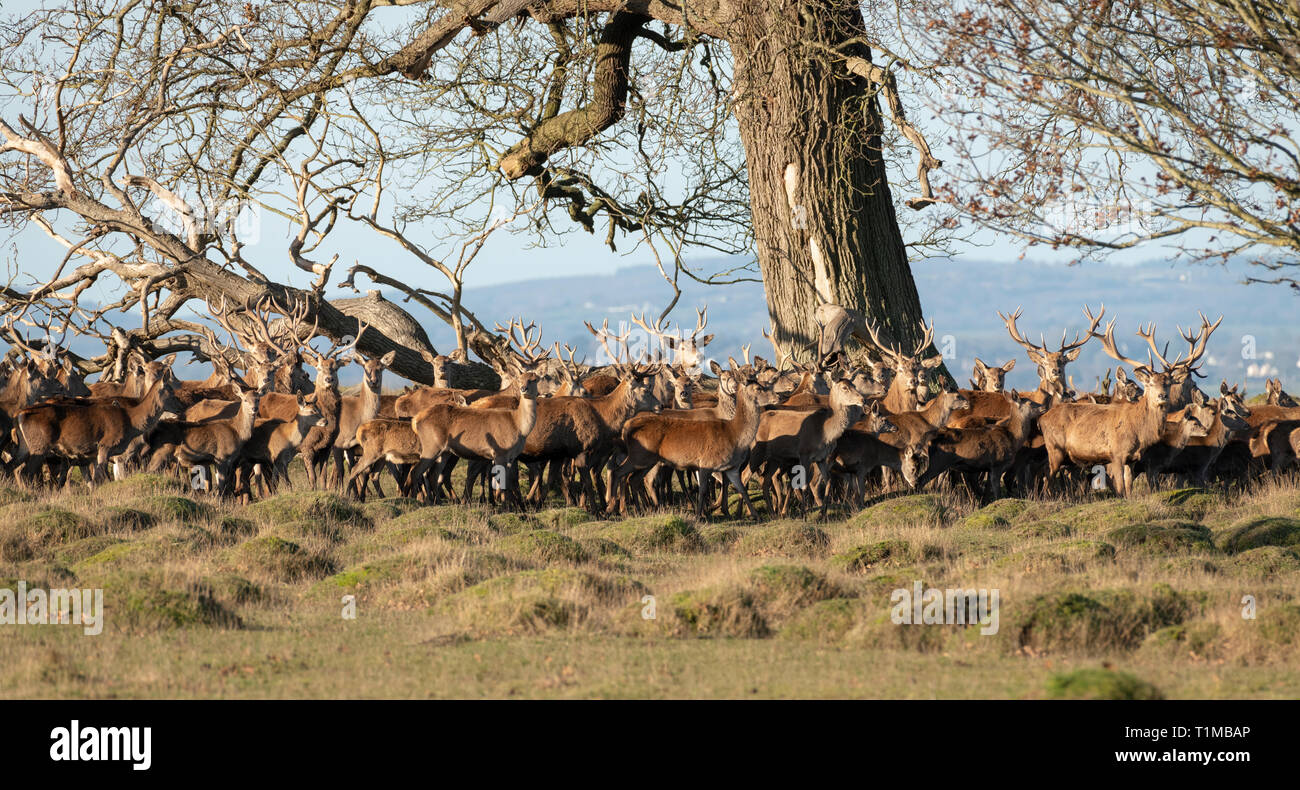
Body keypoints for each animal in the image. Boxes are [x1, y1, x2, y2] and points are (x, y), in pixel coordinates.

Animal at [1037, 305, 1193, 496]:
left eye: (1168, 383)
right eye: (1149, 383)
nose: (1162, 396)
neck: (1138, 430)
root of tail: (1041, 419)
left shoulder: (1132, 459)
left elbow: (1128, 486)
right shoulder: (1116, 454)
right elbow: (1120, 488)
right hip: (1055, 447)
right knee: (1048, 474)